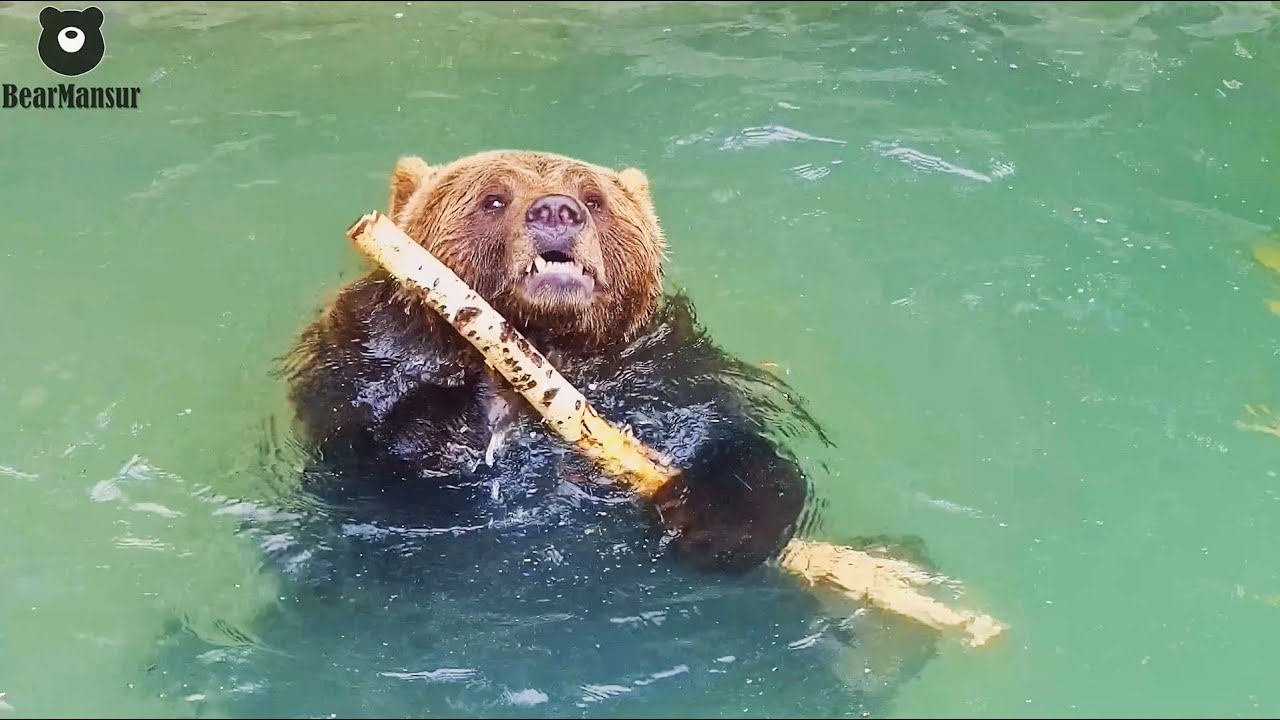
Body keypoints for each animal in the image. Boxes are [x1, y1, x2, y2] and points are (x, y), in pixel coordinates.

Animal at [283, 149, 815, 574]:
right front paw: (449, 422)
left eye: (595, 199)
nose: (557, 210)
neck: (543, 343)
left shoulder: (663, 366)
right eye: (494, 199)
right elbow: (362, 451)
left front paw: (716, 517)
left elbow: (732, 429)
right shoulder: (360, 349)